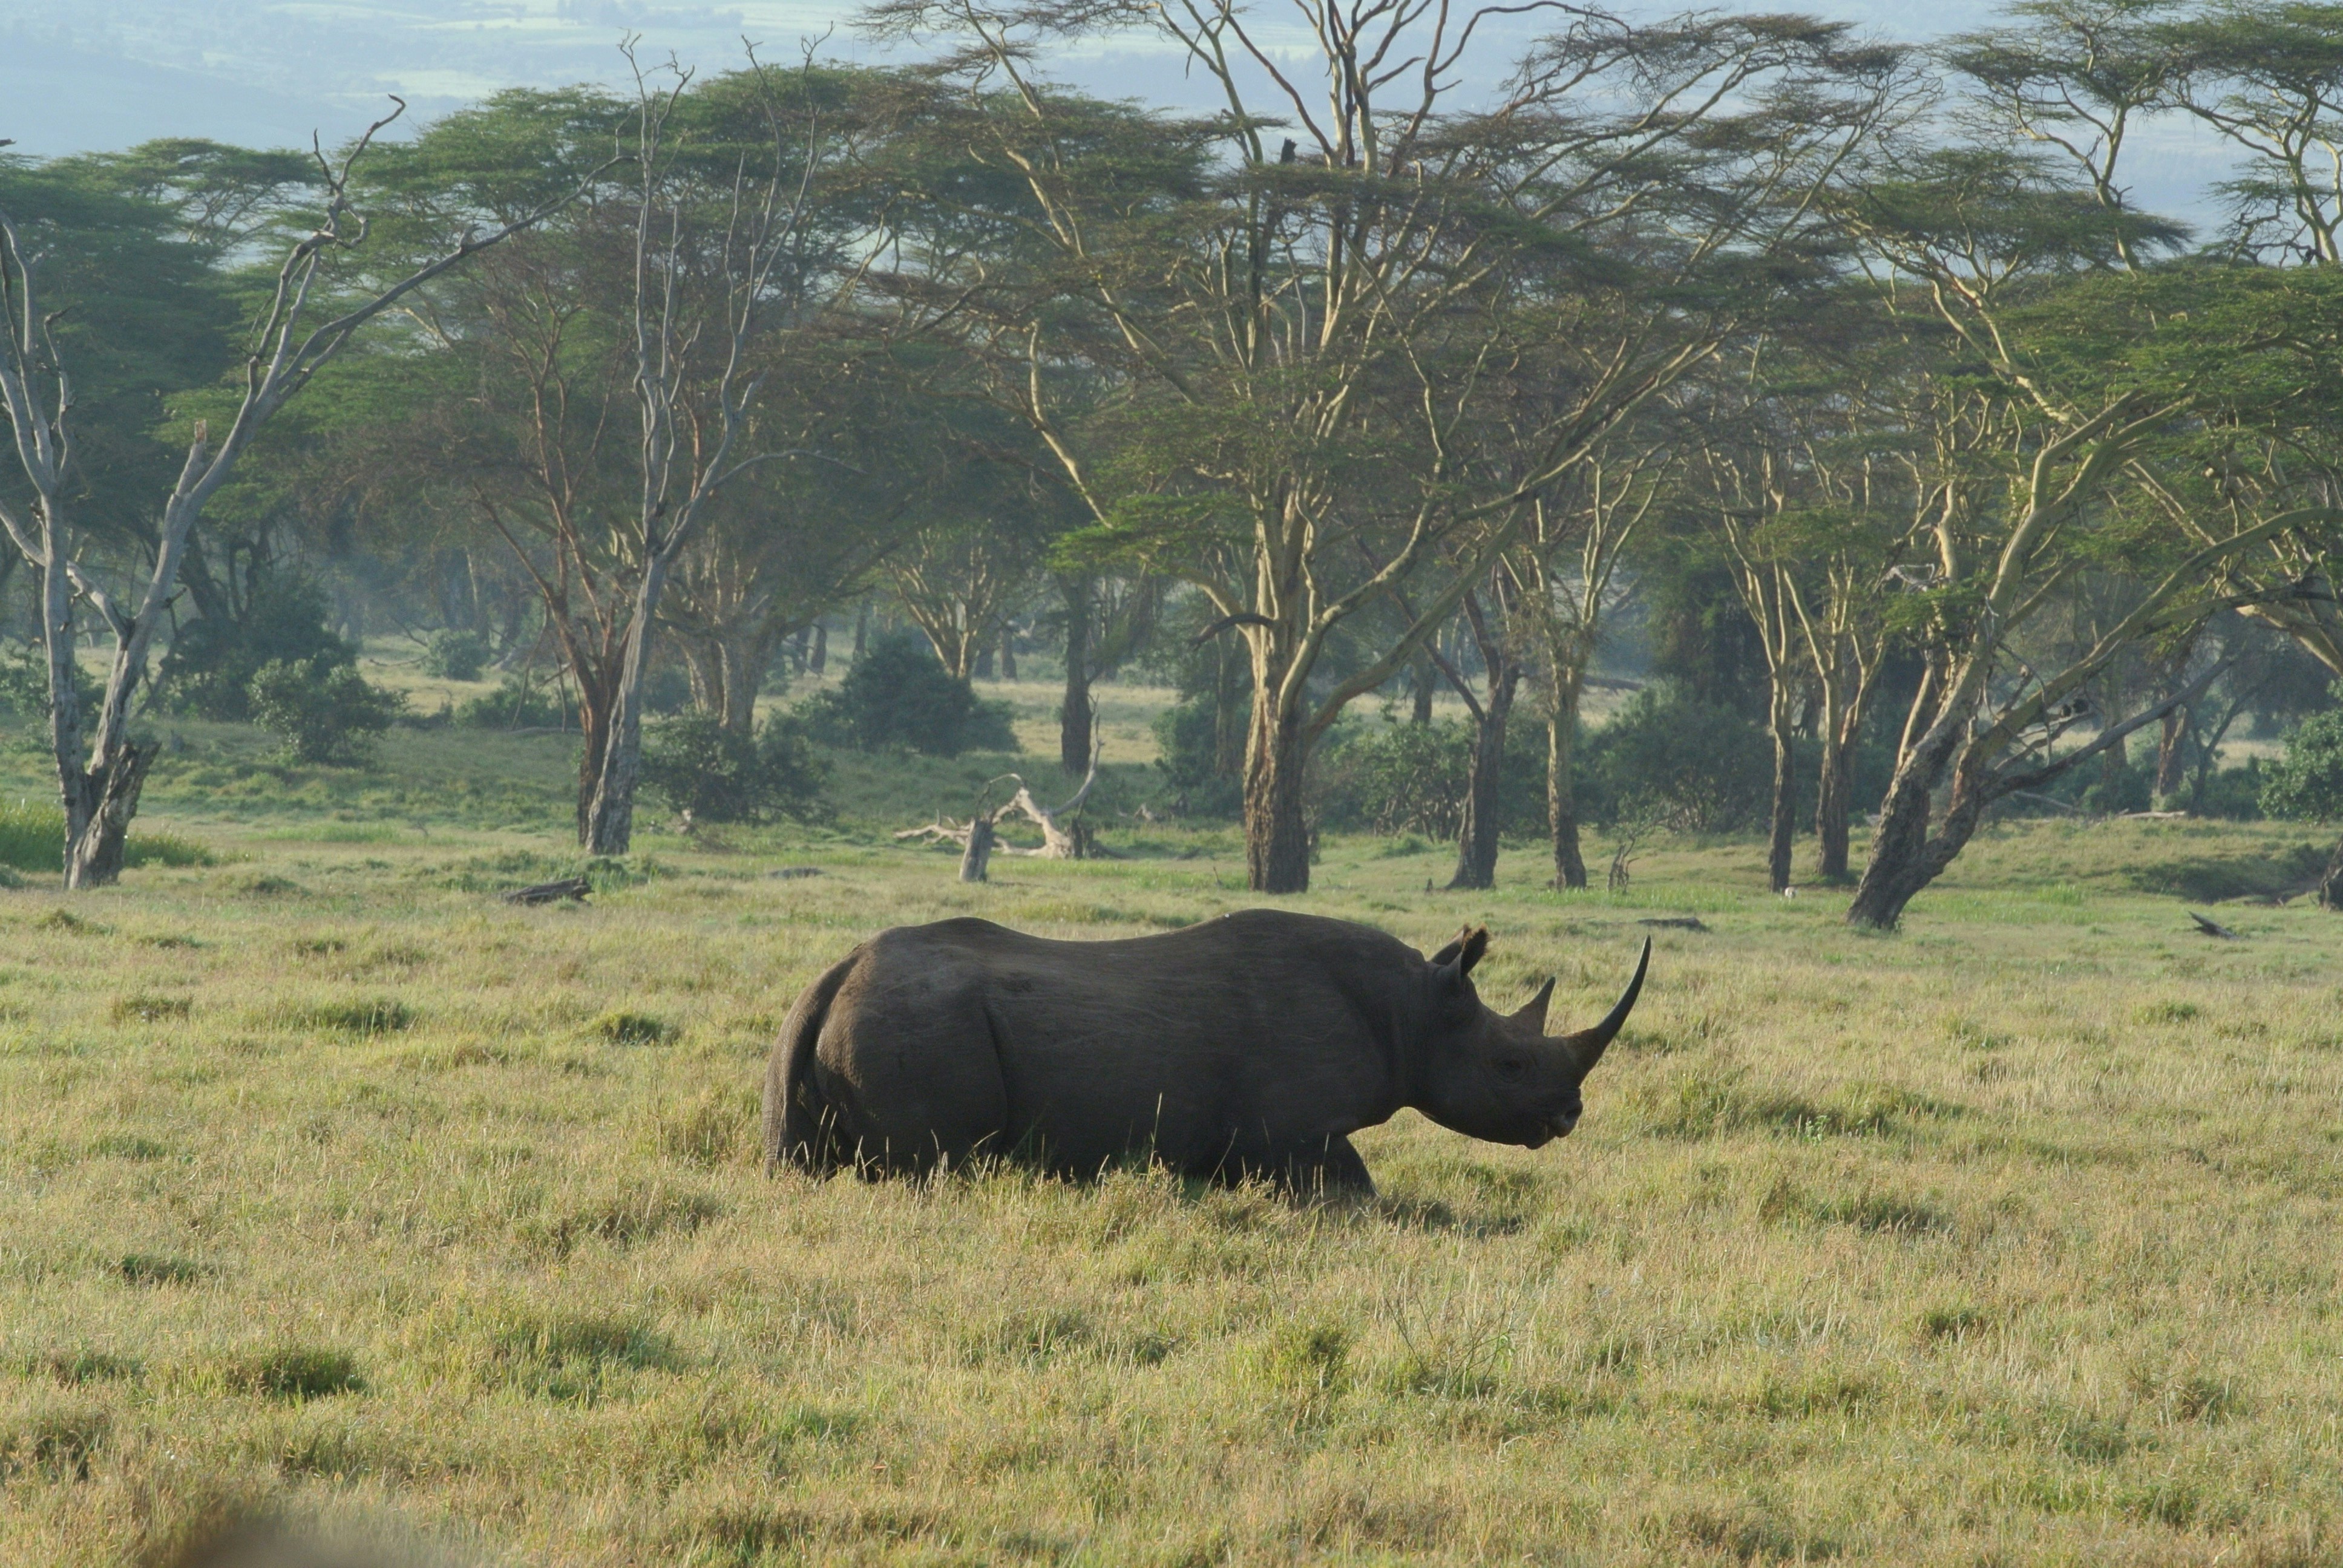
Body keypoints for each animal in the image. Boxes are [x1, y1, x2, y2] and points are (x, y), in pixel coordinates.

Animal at [763, 910, 1647, 1194]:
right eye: (1510, 1066)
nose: (1569, 1114)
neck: (1416, 1009)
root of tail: (834, 977)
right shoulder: (1293, 1131)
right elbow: (1354, 1186)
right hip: (916, 1026)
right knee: (938, 1166)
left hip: (838, 1027)